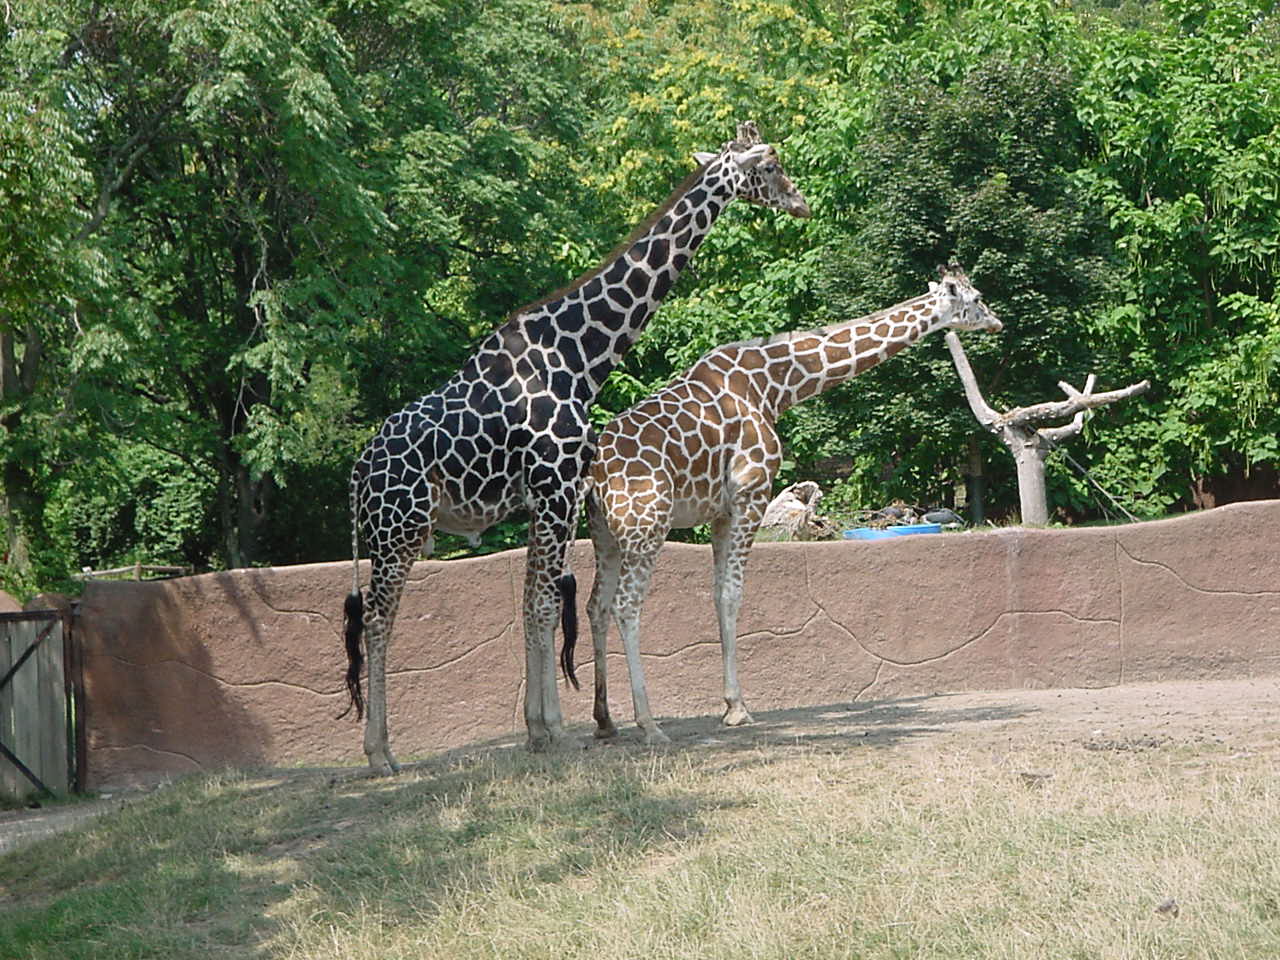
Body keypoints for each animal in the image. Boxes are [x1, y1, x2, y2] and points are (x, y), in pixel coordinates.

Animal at [341, 122, 810, 774]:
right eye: (769, 165)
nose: (801, 201)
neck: (581, 357)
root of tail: (358, 471)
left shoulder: (548, 497)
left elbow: (531, 604)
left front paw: (540, 729)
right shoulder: (555, 487)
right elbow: (542, 604)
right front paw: (555, 730)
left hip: (395, 532)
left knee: (379, 619)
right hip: (399, 530)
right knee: (379, 620)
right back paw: (379, 754)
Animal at [577, 265, 1002, 744]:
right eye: (977, 297)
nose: (997, 322)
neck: (775, 385)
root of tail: (596, 472)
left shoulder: (720, 511)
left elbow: (717, 593)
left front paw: (731, 704)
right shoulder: (751, 494)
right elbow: (732, 593)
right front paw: (738, 708)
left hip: (605, 531)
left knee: (595, 605)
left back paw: (604, 720)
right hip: (647, 525)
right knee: (626, 605)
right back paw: (648, 724)